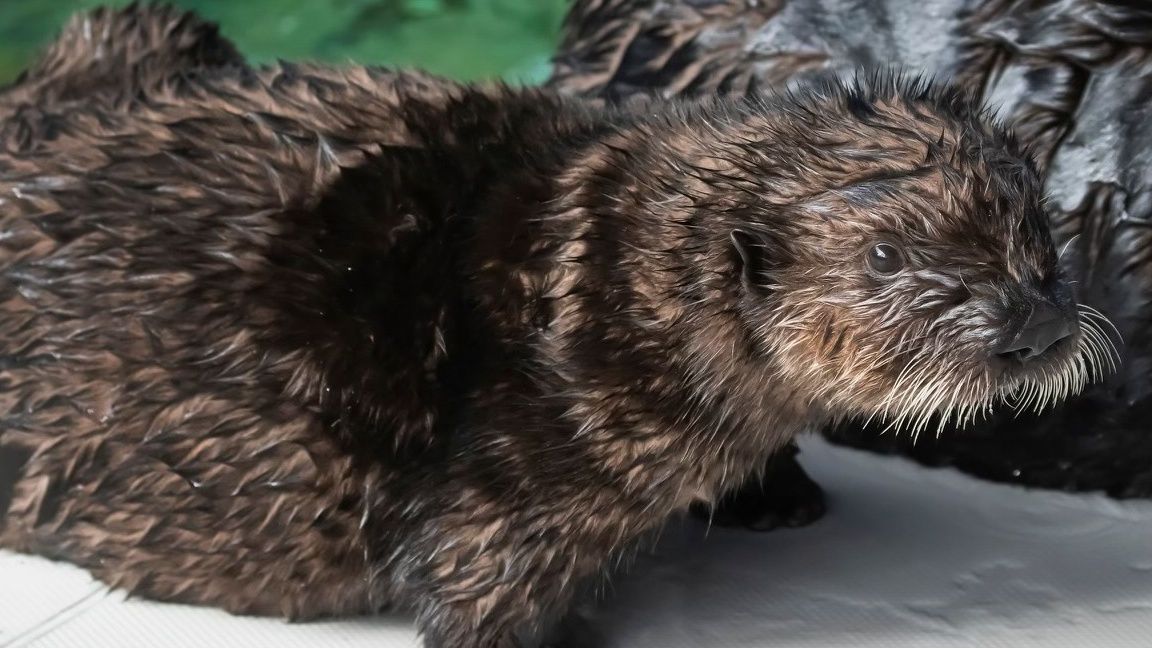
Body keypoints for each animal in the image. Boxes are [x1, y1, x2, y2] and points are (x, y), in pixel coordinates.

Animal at [0, 7, 1108, 648]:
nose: (1036, 320)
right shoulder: (522, 482)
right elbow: (477, 592)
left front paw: (780, 492)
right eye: (884, 256)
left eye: (1037, 228)